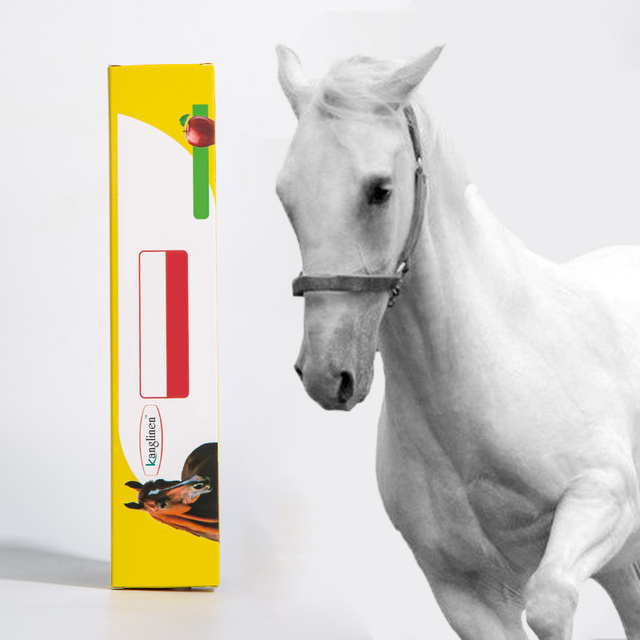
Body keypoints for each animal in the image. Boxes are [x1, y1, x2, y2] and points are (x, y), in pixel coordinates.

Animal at [275, 45, 640, 640]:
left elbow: (549, 603)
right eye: (286, 196)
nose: (328, 376)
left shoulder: (602, 498)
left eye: (380, 190)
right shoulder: (464, 592)